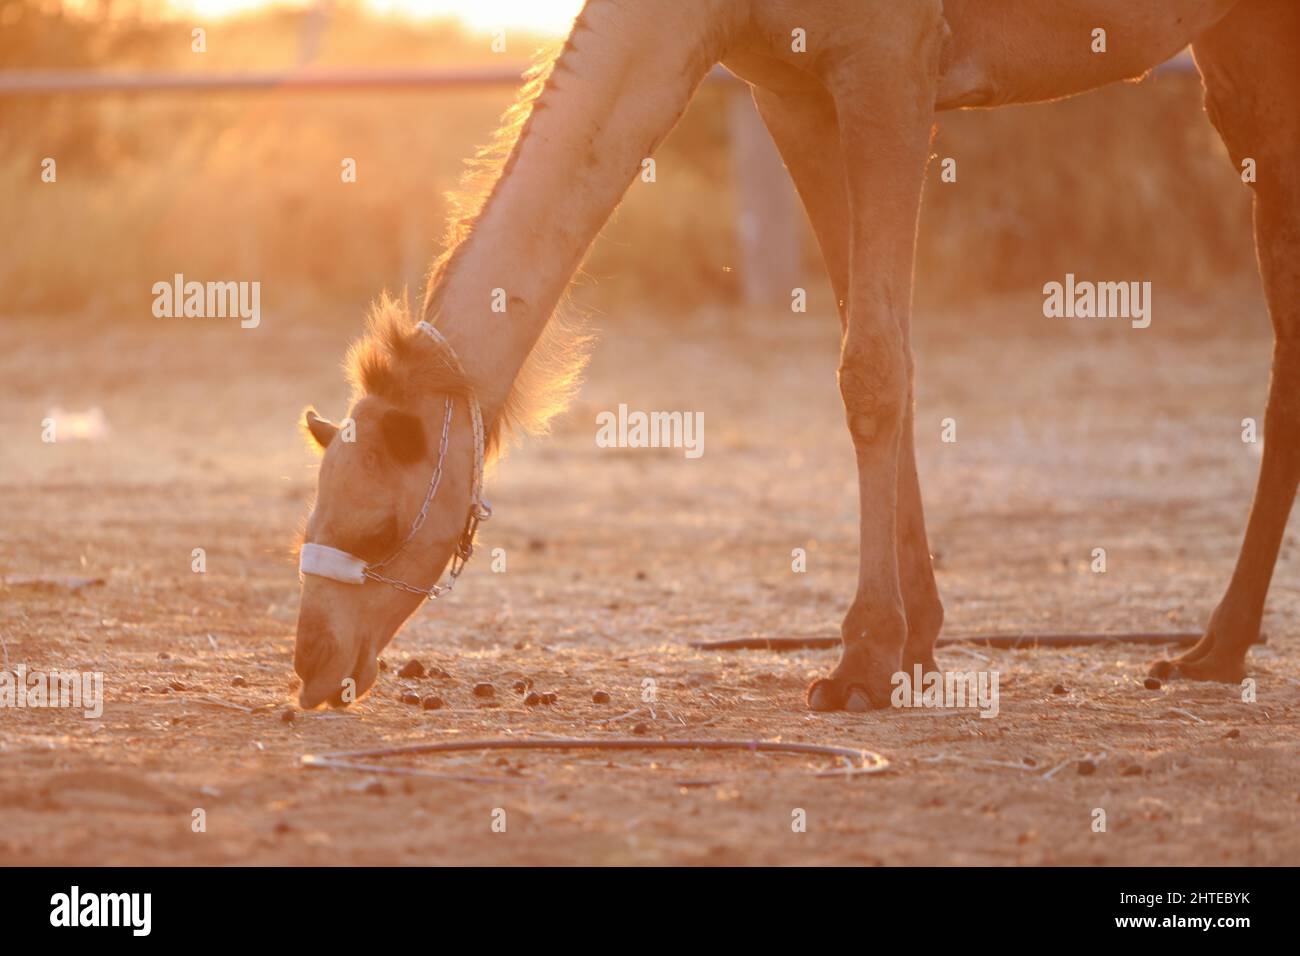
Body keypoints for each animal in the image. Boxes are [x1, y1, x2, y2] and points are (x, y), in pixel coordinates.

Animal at [293, 0, 1299, 712]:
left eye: (377, 528)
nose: (311, 663)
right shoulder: (793, 93)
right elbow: (875, 342)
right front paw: (915, 646)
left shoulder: (889, 71)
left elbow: (873, 369)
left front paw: (861, 665)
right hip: (1242, 47)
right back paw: (1213, 651)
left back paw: (1216, 645)